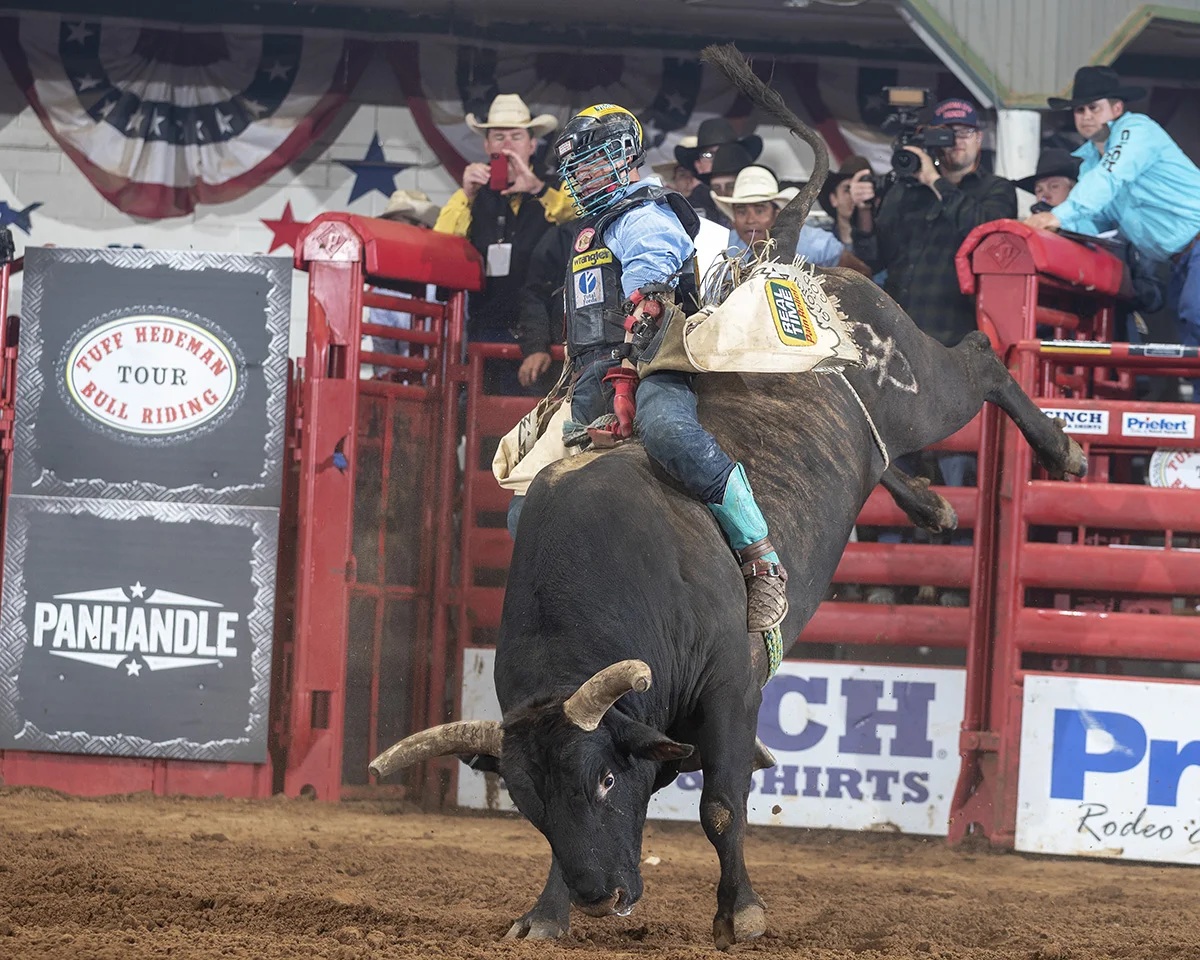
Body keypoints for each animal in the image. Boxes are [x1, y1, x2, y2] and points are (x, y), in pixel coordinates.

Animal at [369, 45, 1086, 949]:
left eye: (605, 783)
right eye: (532, 804)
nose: (601, 896)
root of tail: (780, 262)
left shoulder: (734, 687)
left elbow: (720, 803)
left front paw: (738, 910)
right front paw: (545, 913)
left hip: (918, 385)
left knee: (982, 360)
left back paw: (1061, 446)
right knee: (891, 456)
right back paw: (931, 507)